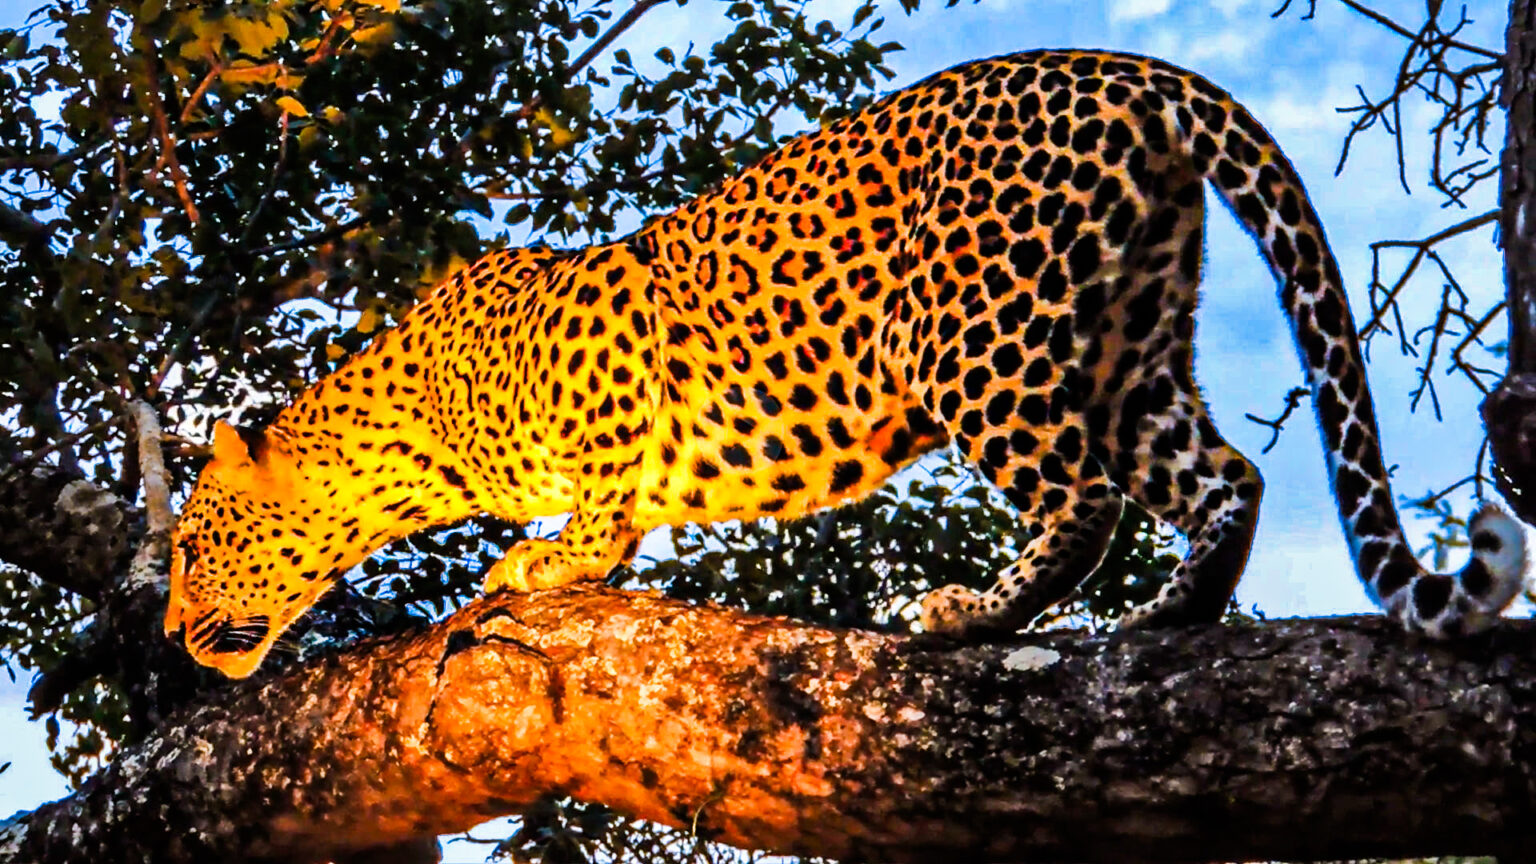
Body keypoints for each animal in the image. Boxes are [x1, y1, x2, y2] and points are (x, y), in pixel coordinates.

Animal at [165, 49, 1529, 679]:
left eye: (186, 547)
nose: (175, 634)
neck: (401, 445)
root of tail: (1131, 68)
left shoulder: (614, 358)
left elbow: (601, 505)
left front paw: (535, 562)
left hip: (973, 334)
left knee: (1082, 498)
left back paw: (973, 617)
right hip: (1130, 339)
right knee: (1222, 476)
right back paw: (1166, 617)